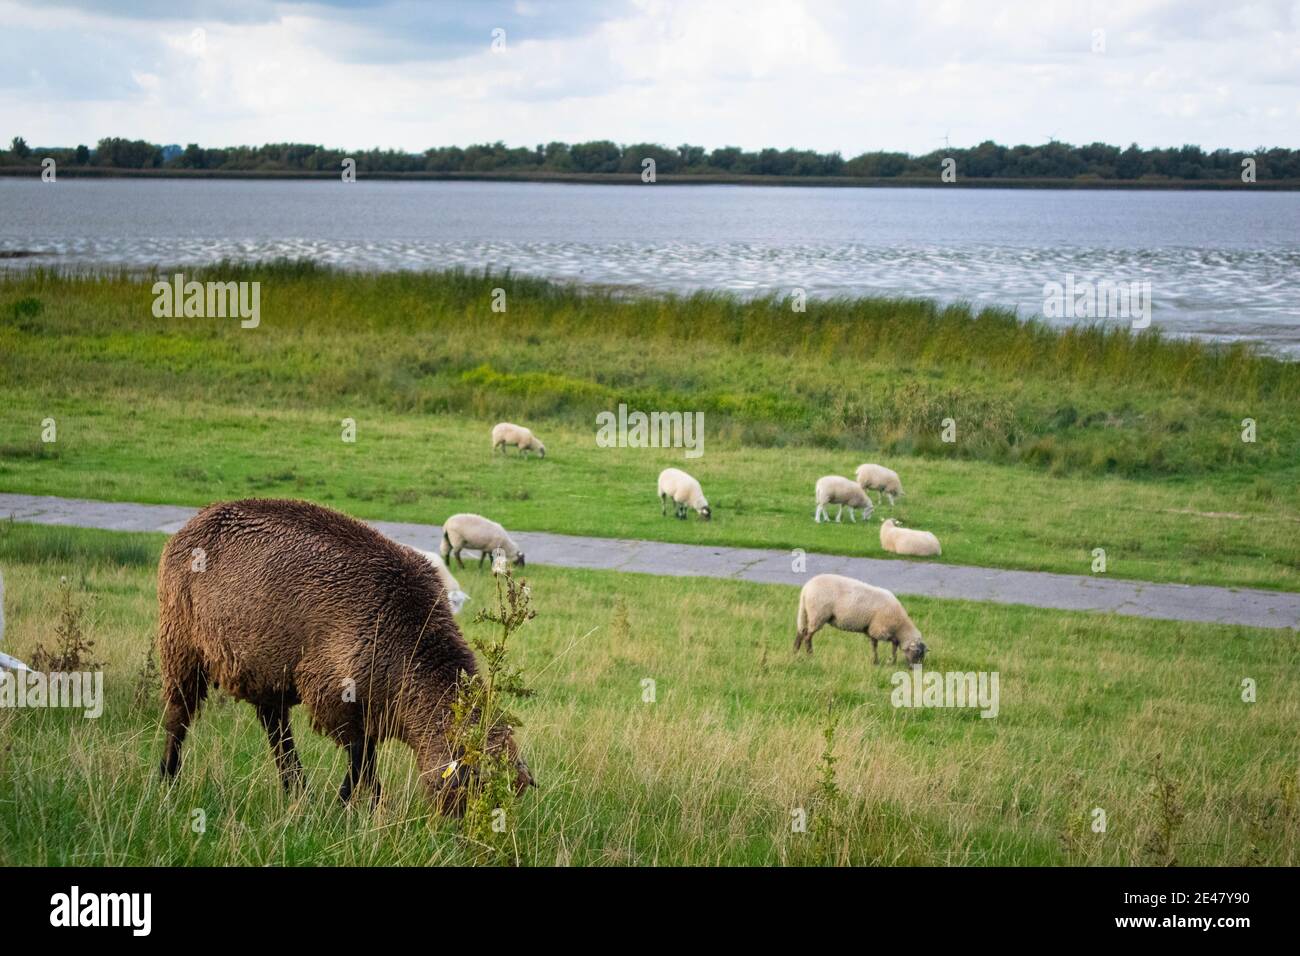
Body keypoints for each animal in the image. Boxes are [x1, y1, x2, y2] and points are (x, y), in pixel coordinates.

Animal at [156, 498, 533, 811]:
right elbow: (359, 760)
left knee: (276, 729)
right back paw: (167, 780)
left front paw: (361, 805)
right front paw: (357, 807)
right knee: (179, 717)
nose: (468, 846)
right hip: (181, 644)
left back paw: (297, 790)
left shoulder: (373, 708)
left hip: (265, 666)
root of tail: (199, 517)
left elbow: (363, 759)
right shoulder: (336, 696)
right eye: (476, 791)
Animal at [794, 573, 927, 665]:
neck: (901, 626)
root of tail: (806, 588)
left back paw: (795, 652)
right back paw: (811, 655)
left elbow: (882, 646)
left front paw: (884, 661)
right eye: (918, 653)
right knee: (807, 637)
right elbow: (885, 644)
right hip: (818, 614)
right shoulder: (878, 629)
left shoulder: (875, 630)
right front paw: (882, 661)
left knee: (801, 632)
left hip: (807, 612)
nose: (915, 669)